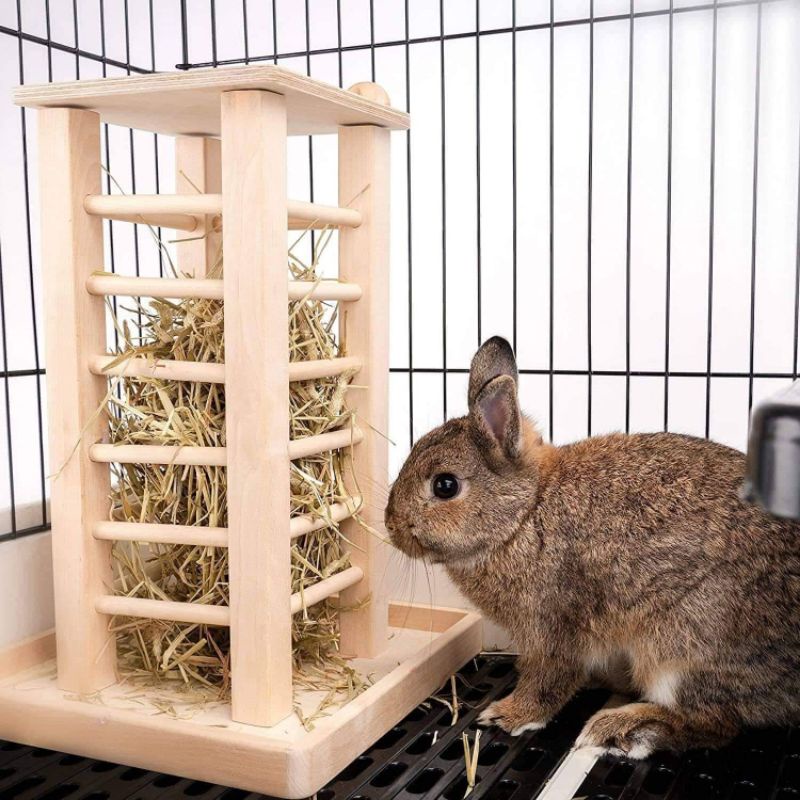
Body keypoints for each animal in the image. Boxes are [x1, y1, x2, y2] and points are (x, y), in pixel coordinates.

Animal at [385, 336, 800, 759]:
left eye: (445, 486)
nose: (391, 526)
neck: (525, 513)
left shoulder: (553, 627)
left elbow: (549, 679)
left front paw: (509, 715)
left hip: (679, 648)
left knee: (714, 724)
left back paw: (621, 730)